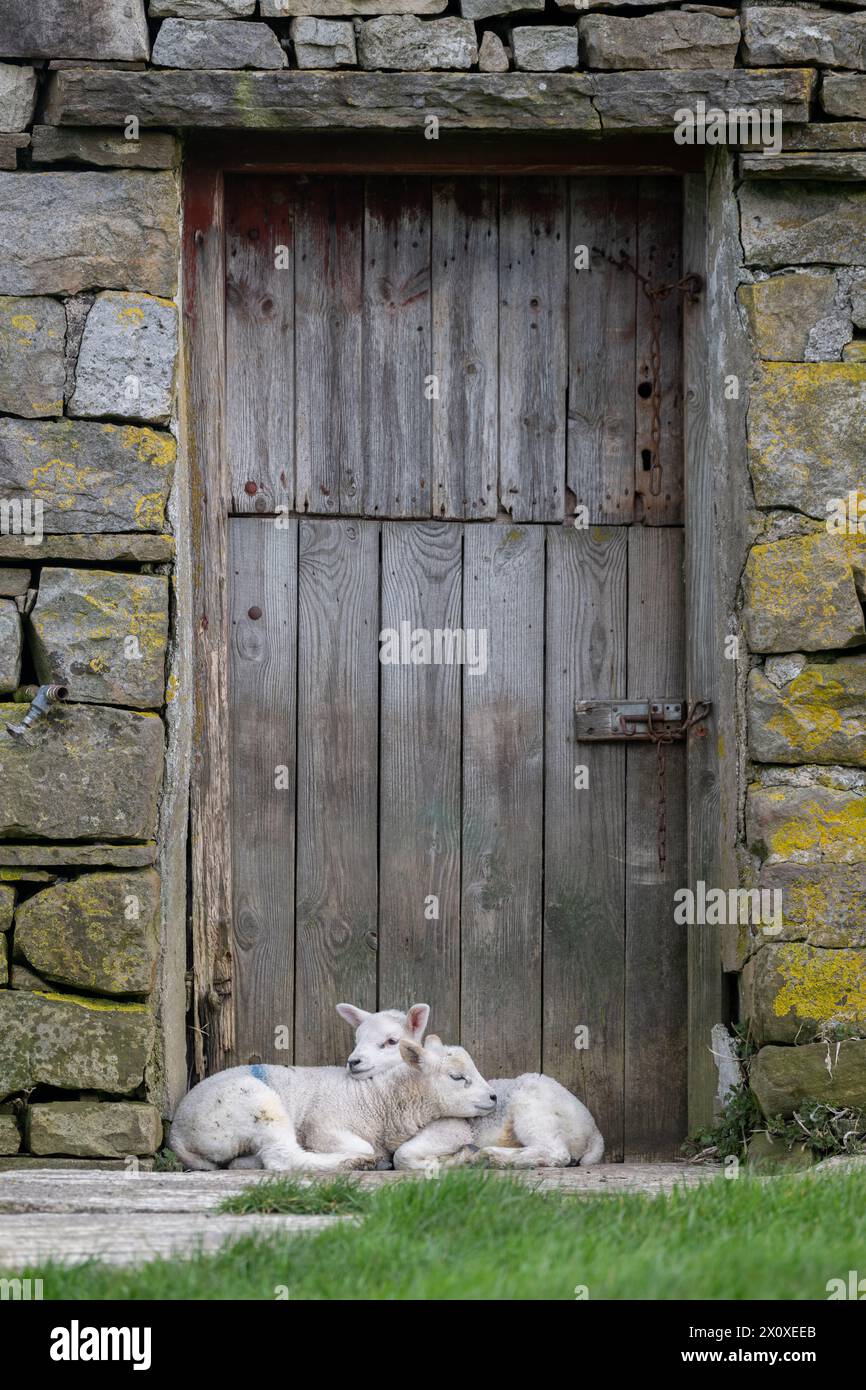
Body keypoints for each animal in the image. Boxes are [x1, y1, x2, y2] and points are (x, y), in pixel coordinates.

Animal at [169, 1033, 496, 1173]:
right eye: (457, 1077)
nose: (494, 1097)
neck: (379, 1099)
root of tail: (177, 1135)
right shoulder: (323, 1127)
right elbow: (363, 1145)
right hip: (254, 1103)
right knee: (283, 1158)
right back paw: (357, 1163)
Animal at [337, 1004, 605, 1171]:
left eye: (391, 1041)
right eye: (357, 1040)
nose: (353, 1062)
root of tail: (593, 1131)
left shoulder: (451, 1128)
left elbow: (402, 1155)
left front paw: (452, 1159)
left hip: (535, 1110)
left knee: (556, 1152)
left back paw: (492, 1157)